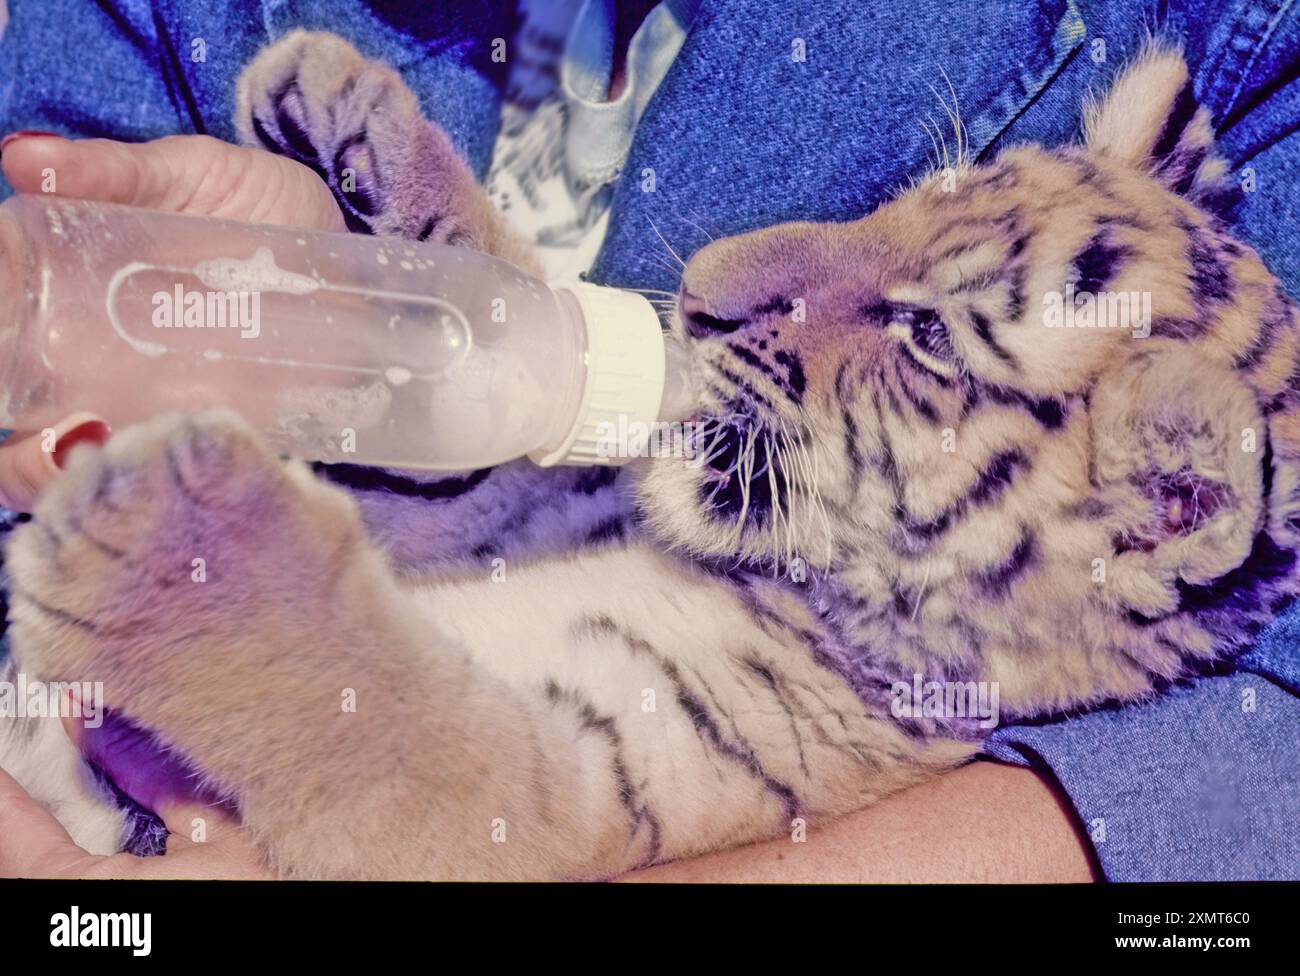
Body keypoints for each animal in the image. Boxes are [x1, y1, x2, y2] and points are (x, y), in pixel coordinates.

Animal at [1, 33, 1297, 880]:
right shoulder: (514, 499)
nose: (700, 298)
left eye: (928, 337)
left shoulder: (573, 785)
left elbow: (374, 703)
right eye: (911, 202)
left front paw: (165, 537)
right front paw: (358, 125)